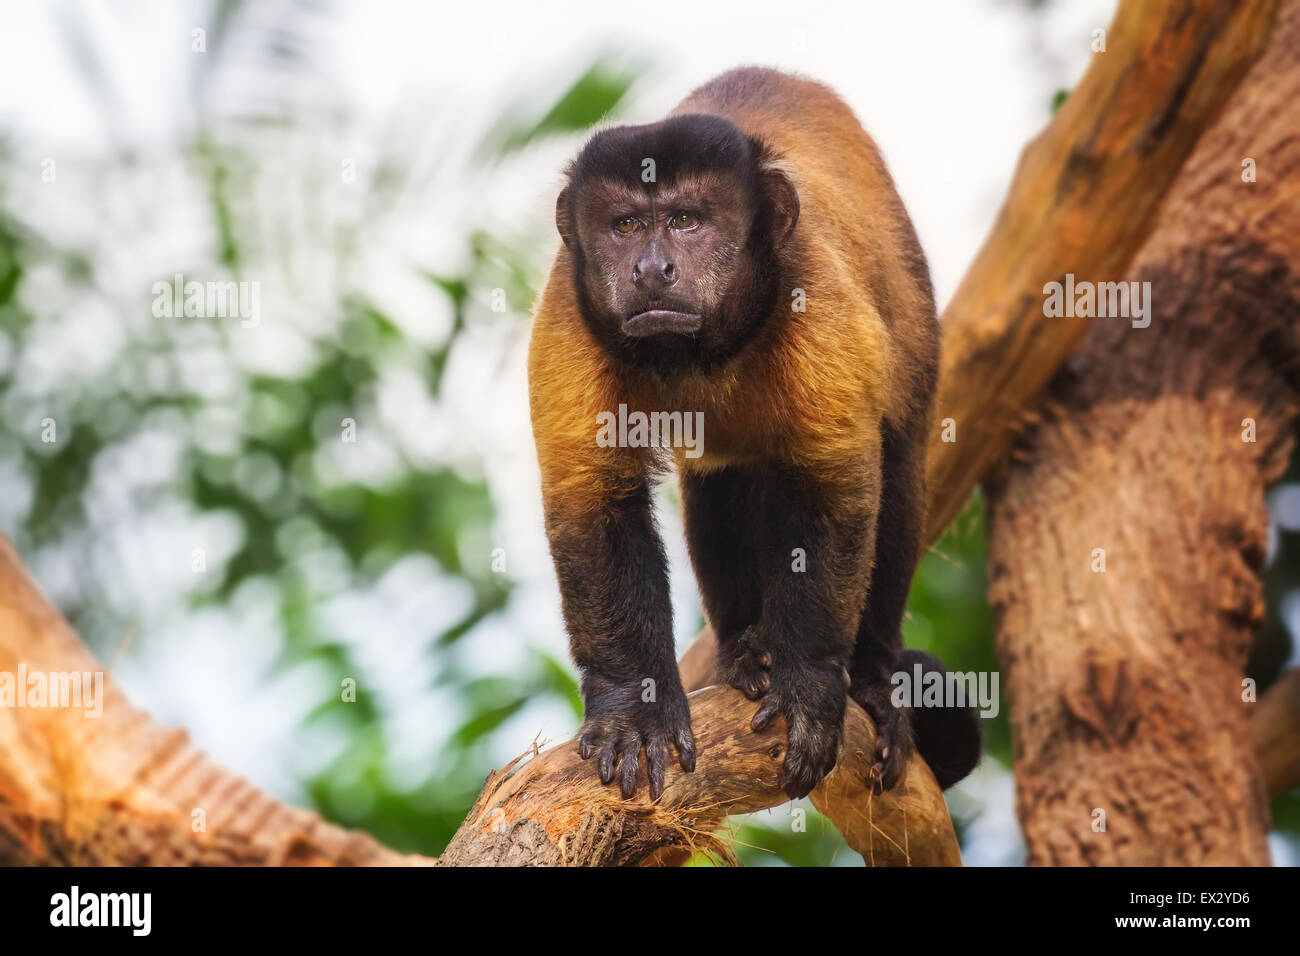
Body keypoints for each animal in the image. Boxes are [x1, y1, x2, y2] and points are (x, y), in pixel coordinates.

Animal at [528, 66, 981, 801]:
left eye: (687, 220)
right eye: (625, 225)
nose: (651, 270)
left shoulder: (815, 293)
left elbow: (834, 492)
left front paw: (809, 685)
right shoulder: (567, 312)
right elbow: (592, 500)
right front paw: (633, 708)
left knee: (896, 471)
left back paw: (873, 676)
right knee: (720, 483)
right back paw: (746, 649)